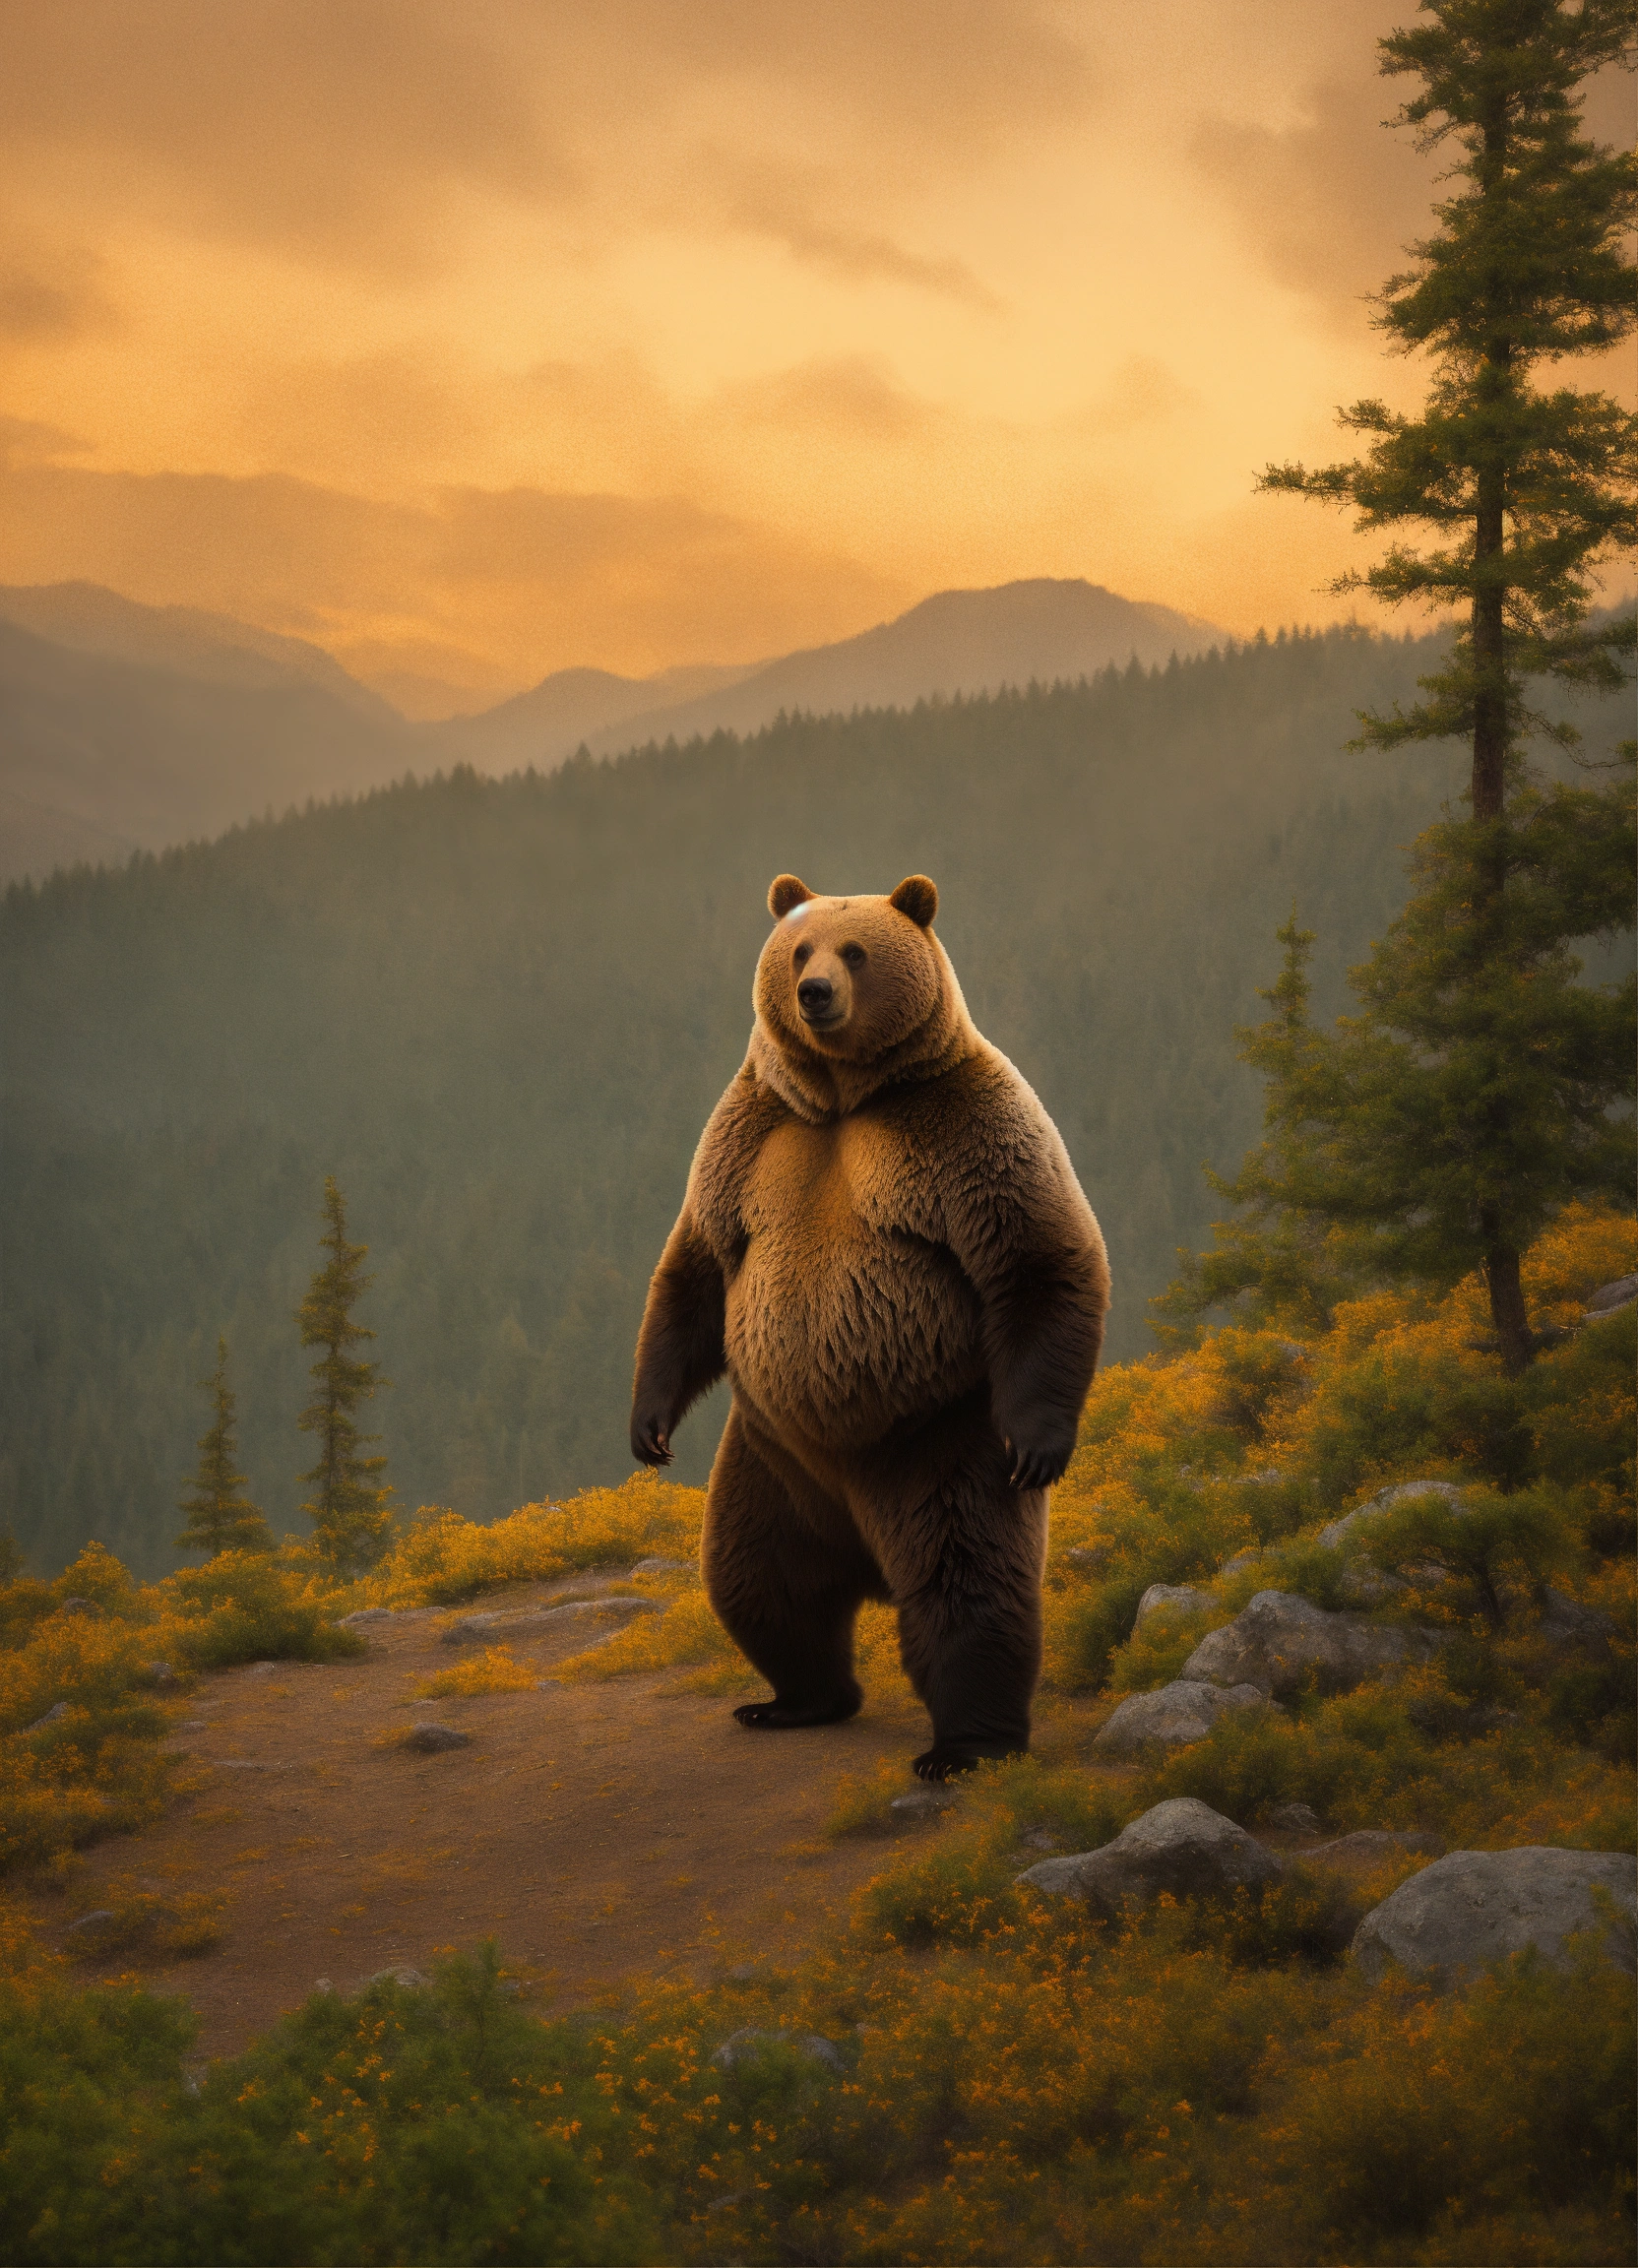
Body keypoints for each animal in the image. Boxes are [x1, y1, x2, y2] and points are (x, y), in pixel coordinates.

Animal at [630, 872, 1110, 1779]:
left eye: (855, 951)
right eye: (798, 949)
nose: (815, 993)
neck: (843, 1099)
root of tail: (863, 1549)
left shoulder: (965, 1128)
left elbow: (1038, 1257)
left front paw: (1040, 1444)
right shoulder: (753, 1134)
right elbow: (698, 1270)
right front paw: (649, 1430)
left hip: (936, 1440)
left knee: (965, 1585)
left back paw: (965, 1746)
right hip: (770, 1462)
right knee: (758, 1578)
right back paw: (793, 1700)